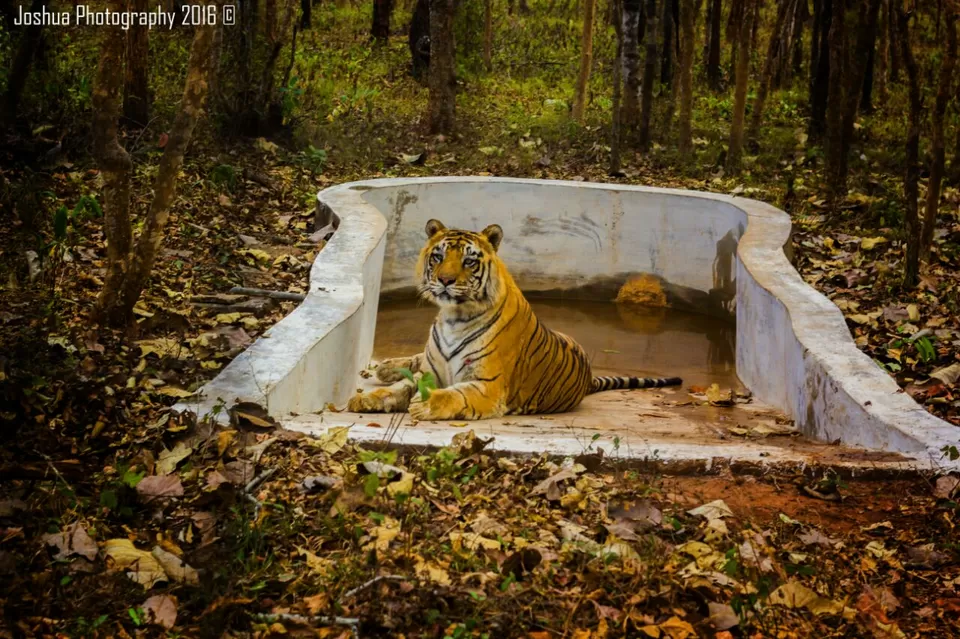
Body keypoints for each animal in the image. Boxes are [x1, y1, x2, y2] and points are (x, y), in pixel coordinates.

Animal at [346, 219, 683, 421]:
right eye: (438, 256)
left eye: (469, 260)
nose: (445, 280)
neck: (453, 318)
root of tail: (588, 376)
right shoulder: (430, 371)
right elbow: (400, 387)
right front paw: (366, 399)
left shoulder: (487, 385)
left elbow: (453, 394)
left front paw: (425, 404)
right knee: (412, 359)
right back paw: (385, 367)